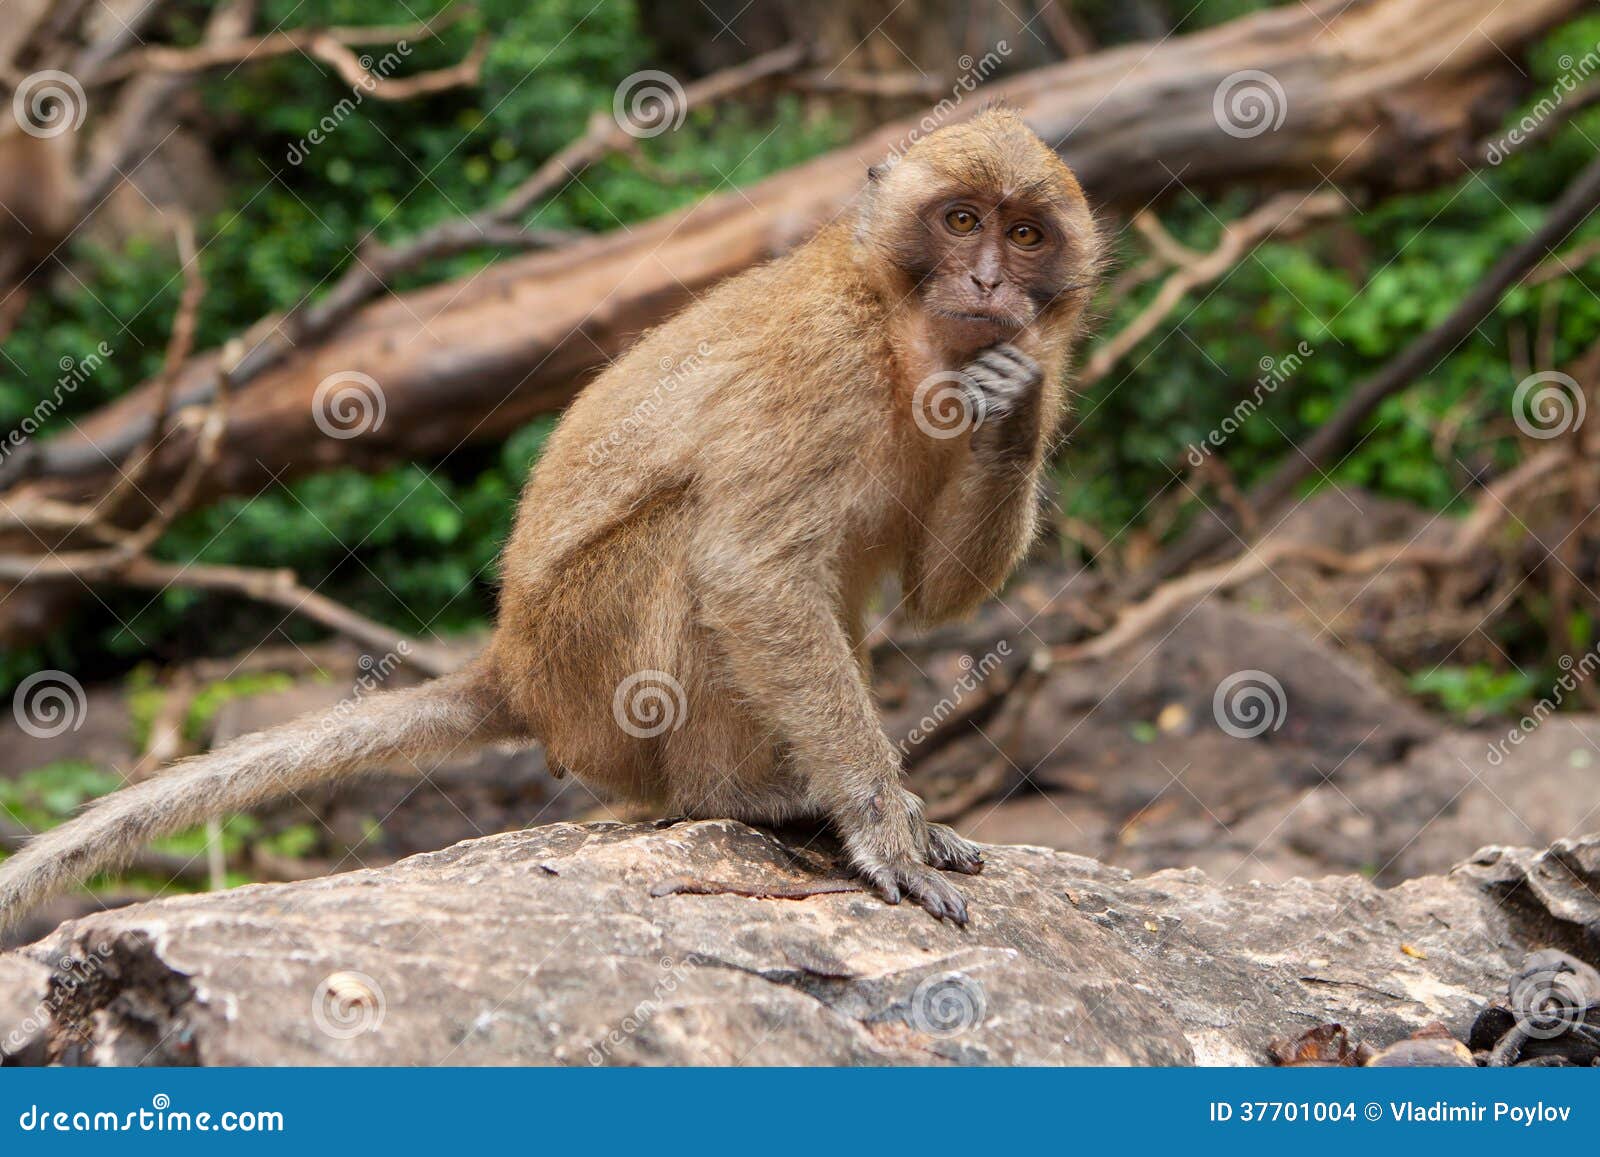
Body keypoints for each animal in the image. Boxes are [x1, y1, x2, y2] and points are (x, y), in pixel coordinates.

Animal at [0, 108, 1100, 932]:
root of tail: (513, 664)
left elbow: (934, 592)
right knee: (689, 546)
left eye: (1025, 235)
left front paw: (1020, 395)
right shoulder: (823, 363)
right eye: (959, 220)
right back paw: (744, 796)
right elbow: (750, 572)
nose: (988, 284)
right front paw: (877, 825)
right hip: (590, 671)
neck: (902, 336)